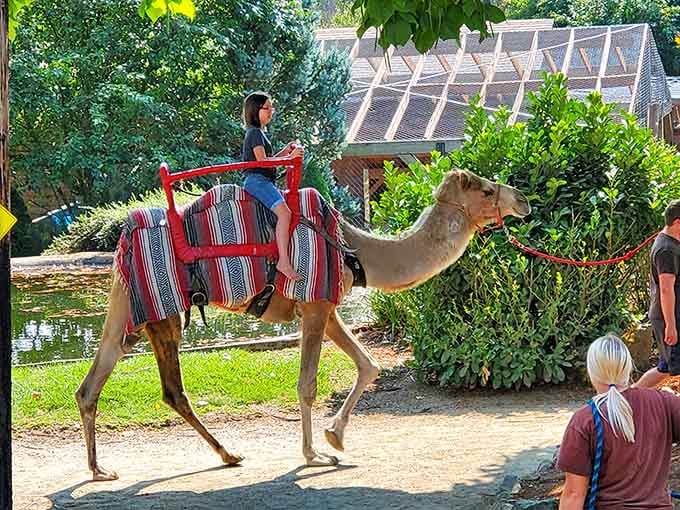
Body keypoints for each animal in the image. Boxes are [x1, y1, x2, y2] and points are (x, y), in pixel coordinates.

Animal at [75, 169, 531, 481]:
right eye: (486, 190)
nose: (523, 199)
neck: (355, 250)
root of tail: (123, 238)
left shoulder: (325, 306)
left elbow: (369, 364)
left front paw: (336, 437)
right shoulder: (315, 302)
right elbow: (308, 384)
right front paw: (316, 455)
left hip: (125, 308)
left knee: (93, 380)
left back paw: (101, 470)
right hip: (162, 311)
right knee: (172, 390)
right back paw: (228, 454)